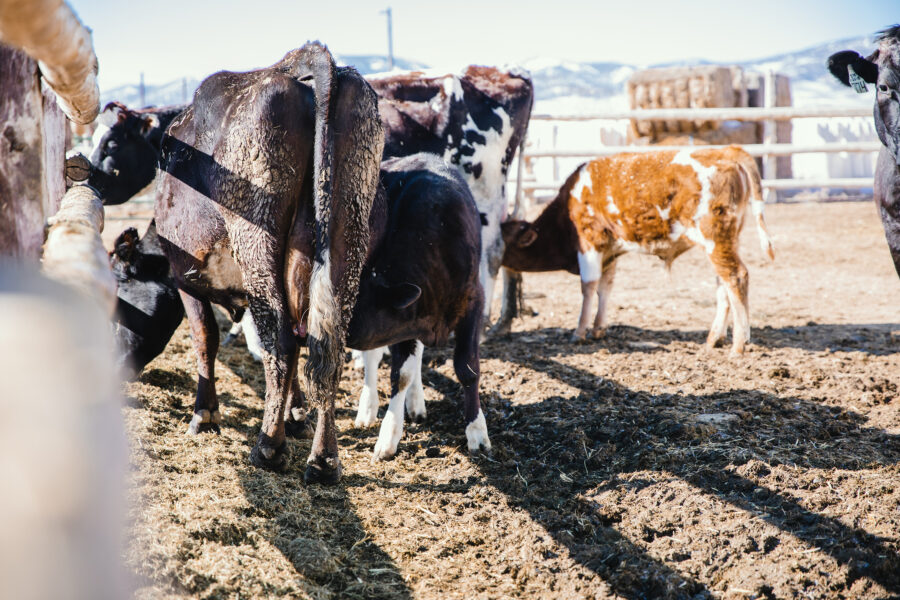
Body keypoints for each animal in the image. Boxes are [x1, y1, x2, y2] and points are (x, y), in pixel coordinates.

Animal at [154, 42, 384, 484]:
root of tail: (299, 65)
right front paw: (295, 414)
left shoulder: (185, 280)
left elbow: (205, 338)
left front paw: (204, 413)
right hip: (348, 232)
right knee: (325, 345)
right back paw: (324, 459)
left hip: (257, 239)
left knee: (280, 337)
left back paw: (268, 446)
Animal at [347, 152, 489, 459]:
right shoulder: (403, 322)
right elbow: (400, 374)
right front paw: (388, 435)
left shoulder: (474, 300)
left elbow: (468, 367)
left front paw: (477, 431)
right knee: (373, 359)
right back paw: (368, 407)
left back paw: (416, 402)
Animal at [501, 146, 775, 355]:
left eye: (502, 242)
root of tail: (725, 150)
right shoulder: (609, 250)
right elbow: (605, 286)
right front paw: (598, 328)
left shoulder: (590, 240)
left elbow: (588, 287)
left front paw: (579, 332)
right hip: (727, 240)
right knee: (723, 285)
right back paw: (714, 337)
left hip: (715, 238)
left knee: (736, 277)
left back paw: (739, 344)